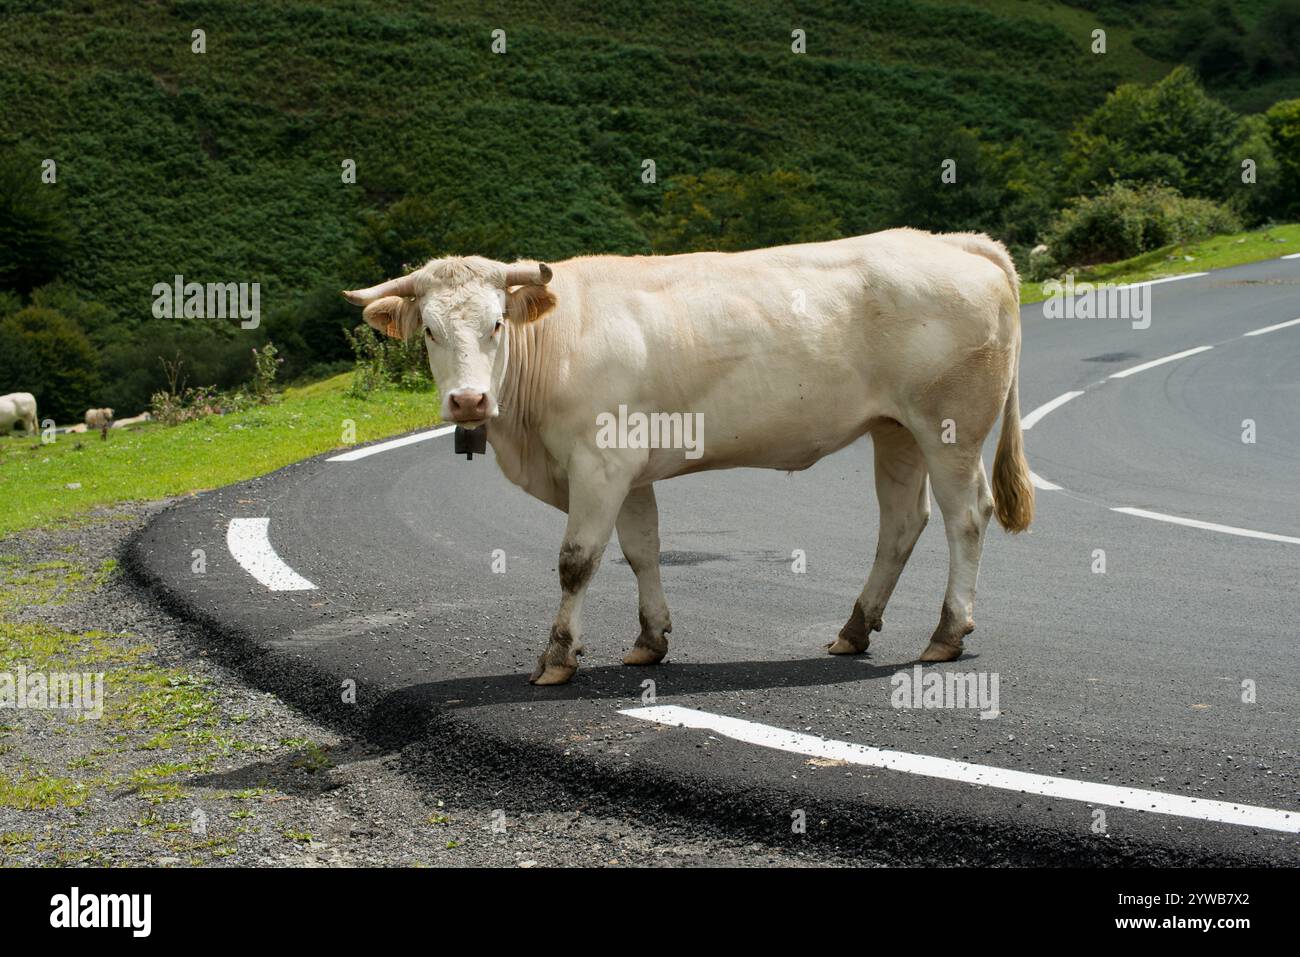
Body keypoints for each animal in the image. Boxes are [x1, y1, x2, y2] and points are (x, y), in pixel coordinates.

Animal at [343, 229, 1034, 685]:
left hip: (949, 428)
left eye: (495, 324)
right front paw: (650, 640)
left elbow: (576, 561)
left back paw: (946, 634)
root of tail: (956, 242)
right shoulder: (628, 471)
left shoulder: (600, 462)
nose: (468, 399)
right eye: (430, 331)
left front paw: (558, 657)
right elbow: (641, 550)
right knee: (901, 523)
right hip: (895, 430)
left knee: (967, 516)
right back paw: (855, 629)